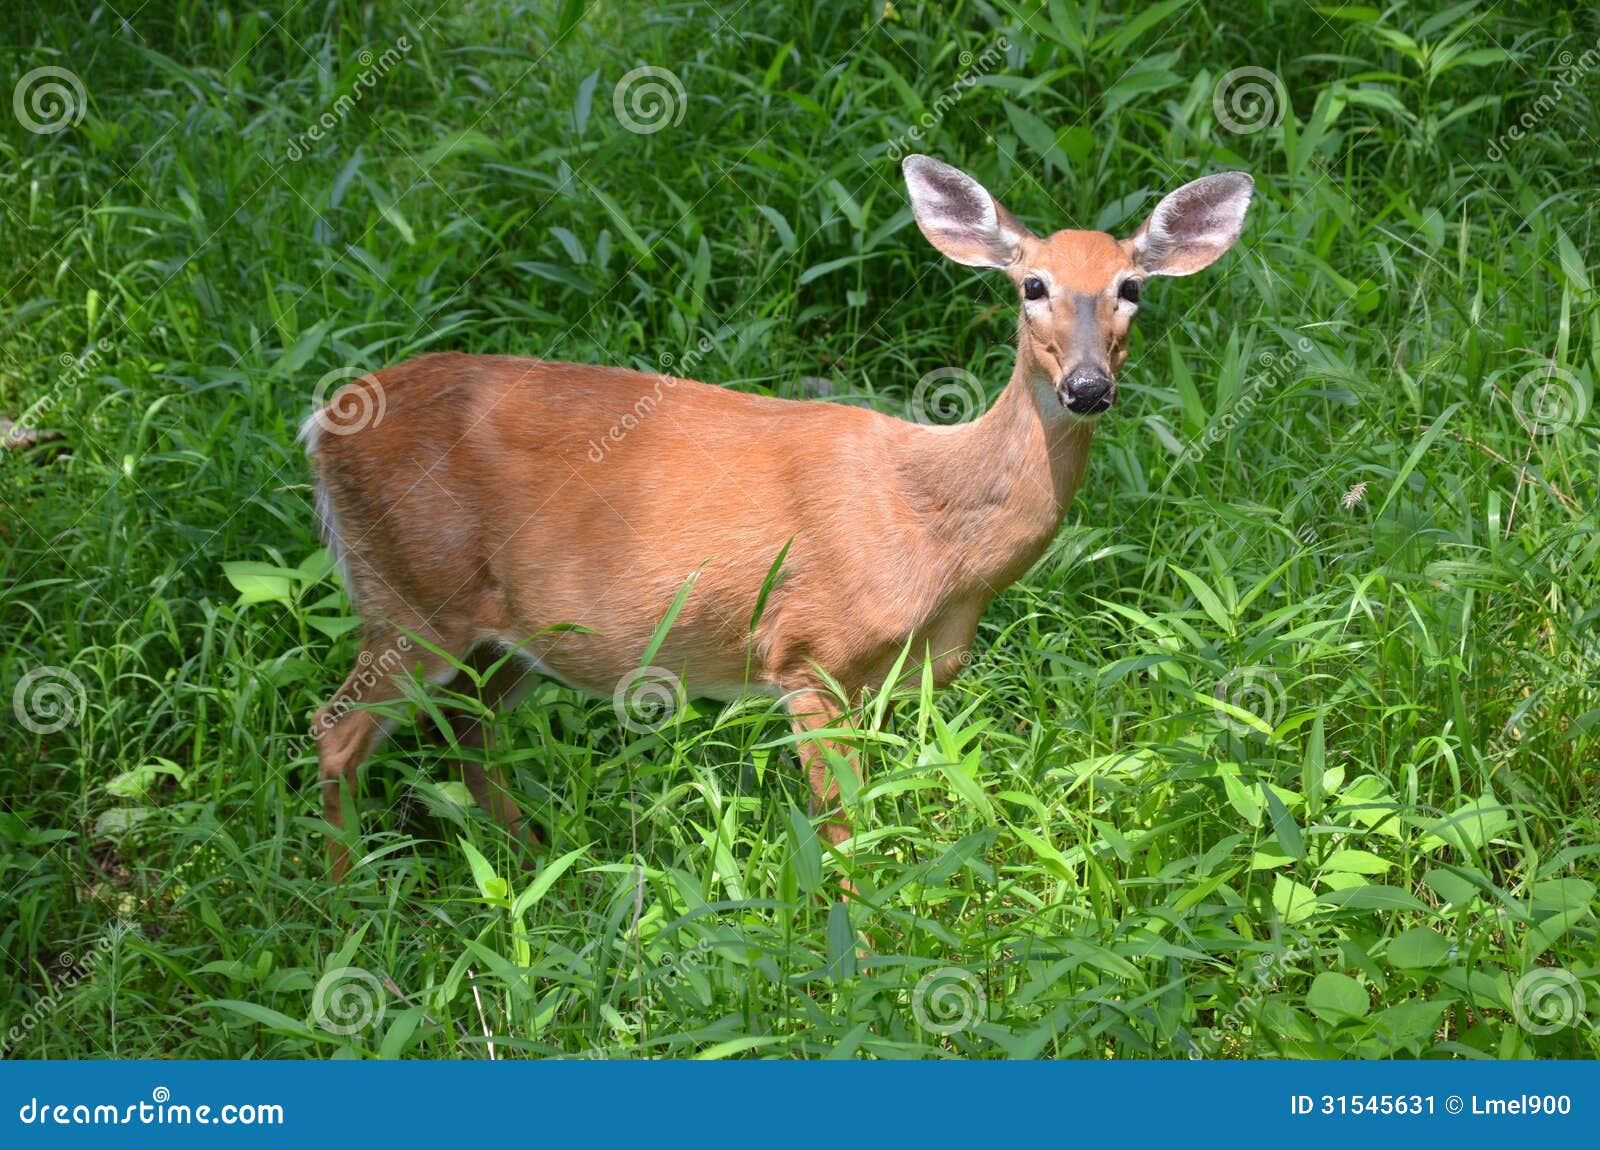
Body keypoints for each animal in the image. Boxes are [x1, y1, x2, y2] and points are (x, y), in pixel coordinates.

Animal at [302, 154, 1254, 883]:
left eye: (1131, 287)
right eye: (1031, 284)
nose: (1088, 386)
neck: (935, 534)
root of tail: (322, 425)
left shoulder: (900, 679)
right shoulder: (807, 653)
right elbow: (847, 833)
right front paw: (863, 957)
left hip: (505, 632)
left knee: (468, 732)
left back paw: (538, 870)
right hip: (409, 594)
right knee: (336, 731)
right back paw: (350, 906)